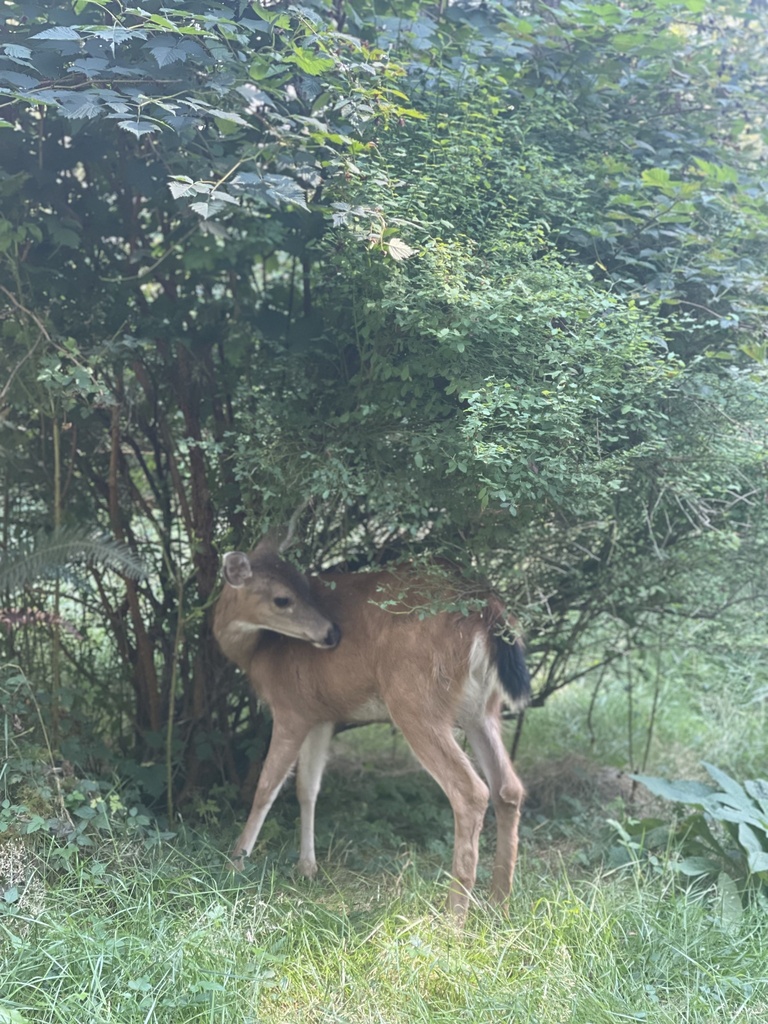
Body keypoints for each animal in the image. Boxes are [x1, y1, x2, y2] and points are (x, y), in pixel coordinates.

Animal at [213, 534, 530, 916]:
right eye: (286, 596)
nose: (331, 633)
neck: (259, 651)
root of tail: (488, 610)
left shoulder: (291, 709)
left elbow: (266, 787)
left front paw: (235, 862)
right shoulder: (321, 715)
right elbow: (308, 788)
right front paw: (307, 868)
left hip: (415, 700)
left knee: (471, 792)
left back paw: (454, 917)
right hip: (481, 709)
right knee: (508, 787)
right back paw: (499, 904)